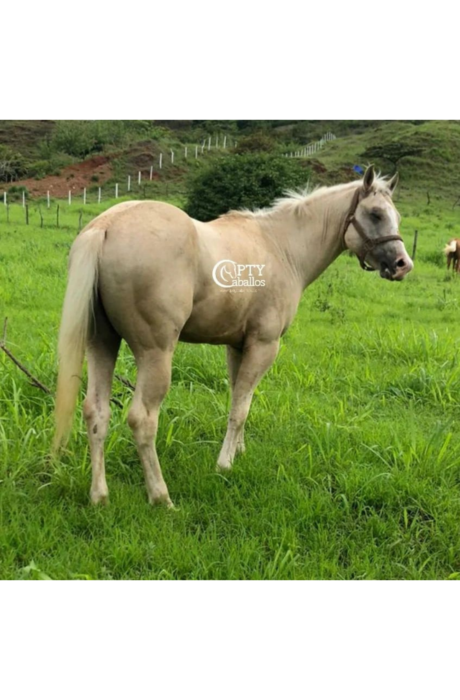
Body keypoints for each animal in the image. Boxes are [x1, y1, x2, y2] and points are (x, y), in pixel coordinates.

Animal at [53, 165, 413, 507]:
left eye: (396, 215)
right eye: (375, 214)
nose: (402, 265)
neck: (282, 247)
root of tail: (107, 225)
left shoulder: (237, 346)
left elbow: (239, 400)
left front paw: (237, 452)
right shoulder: (265, 346)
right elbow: (241, 407)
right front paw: (224, 464)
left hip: (102, 343)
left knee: (96, 412)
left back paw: (100, 496)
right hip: (155, 354)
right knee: (142, 419)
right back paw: (161, 496)